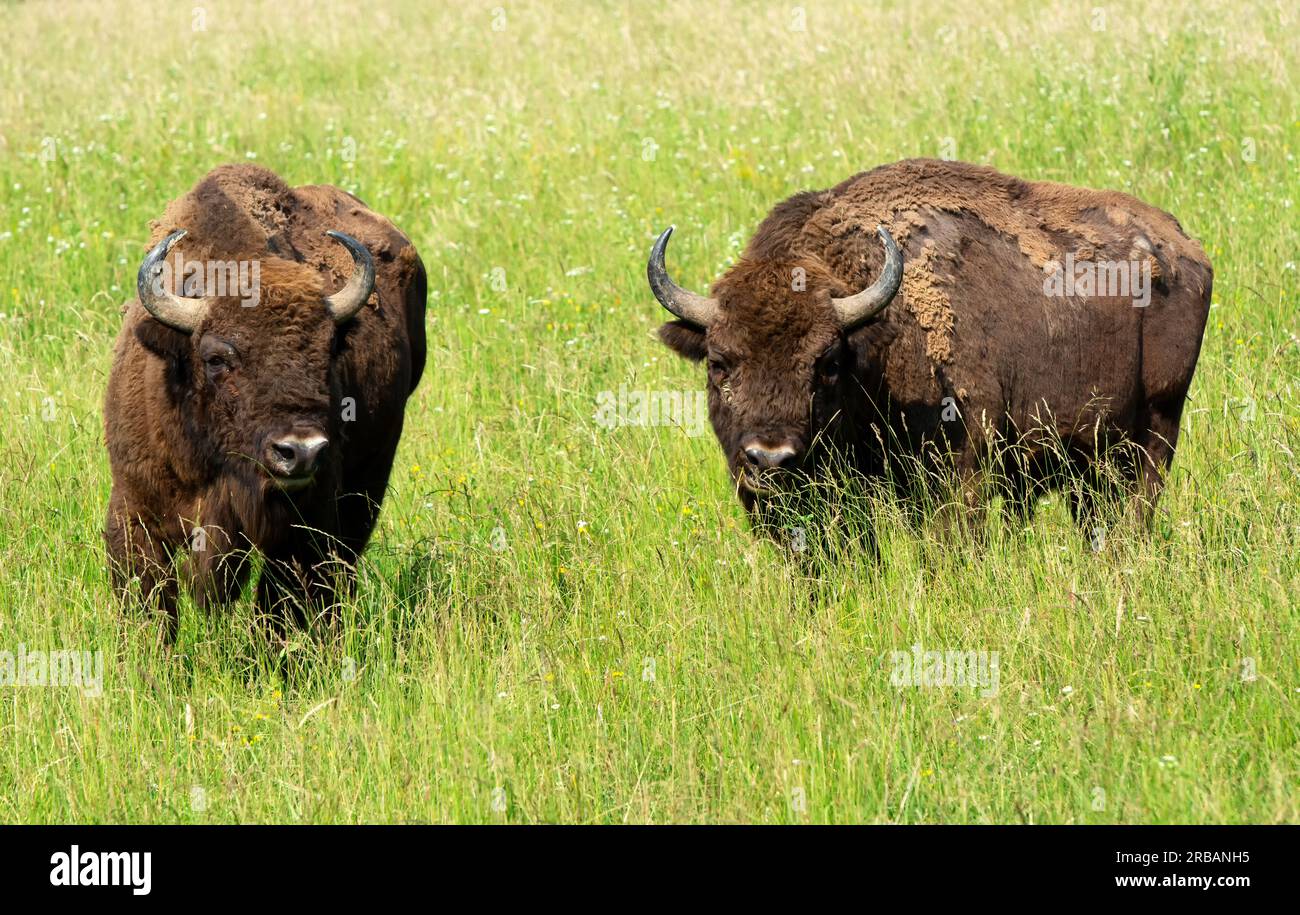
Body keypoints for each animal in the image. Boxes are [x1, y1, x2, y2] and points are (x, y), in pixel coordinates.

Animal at [104, 164, 427, 638]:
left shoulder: (305, 525)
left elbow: (280, 607)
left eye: (330, 349)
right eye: (217, 357)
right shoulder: (135, 513)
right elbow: (152, 609)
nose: (301, 451)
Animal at [650, 158, 1212, 540]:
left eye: (827, 364)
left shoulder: (958, 468)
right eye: (718, 363)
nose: (770, 457)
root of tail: (1184, 247)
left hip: (1156, 430)